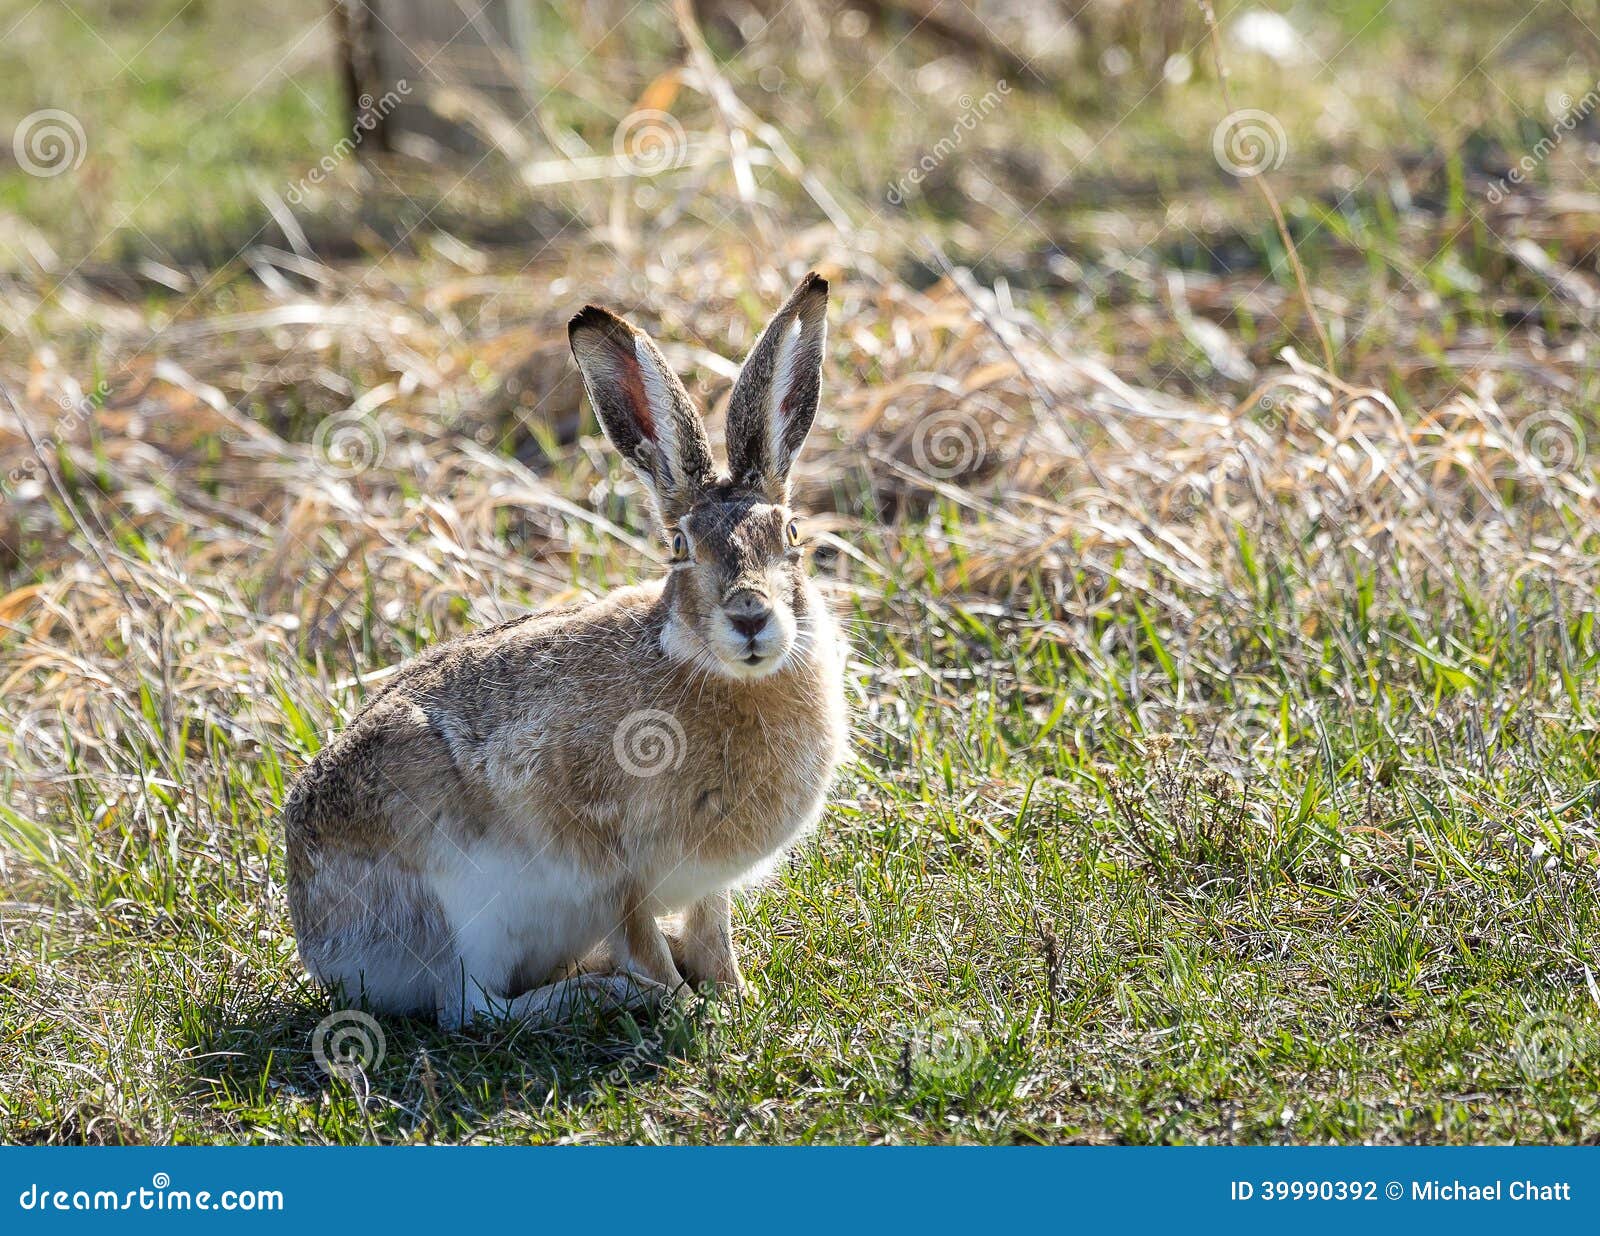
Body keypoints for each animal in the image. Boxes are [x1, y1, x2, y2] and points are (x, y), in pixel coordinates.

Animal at [284, 273, 848, 1028]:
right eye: (680, 548)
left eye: (790, 535)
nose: (752, 616)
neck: (706, 667)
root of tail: (319, 941)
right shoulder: (609, 861)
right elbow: (639, 933)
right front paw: (684, 1006)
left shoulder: (707, 883)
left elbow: (714, 927)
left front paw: (732, 993)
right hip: (462, 905)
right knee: (473, 1009)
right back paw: (606, 992)